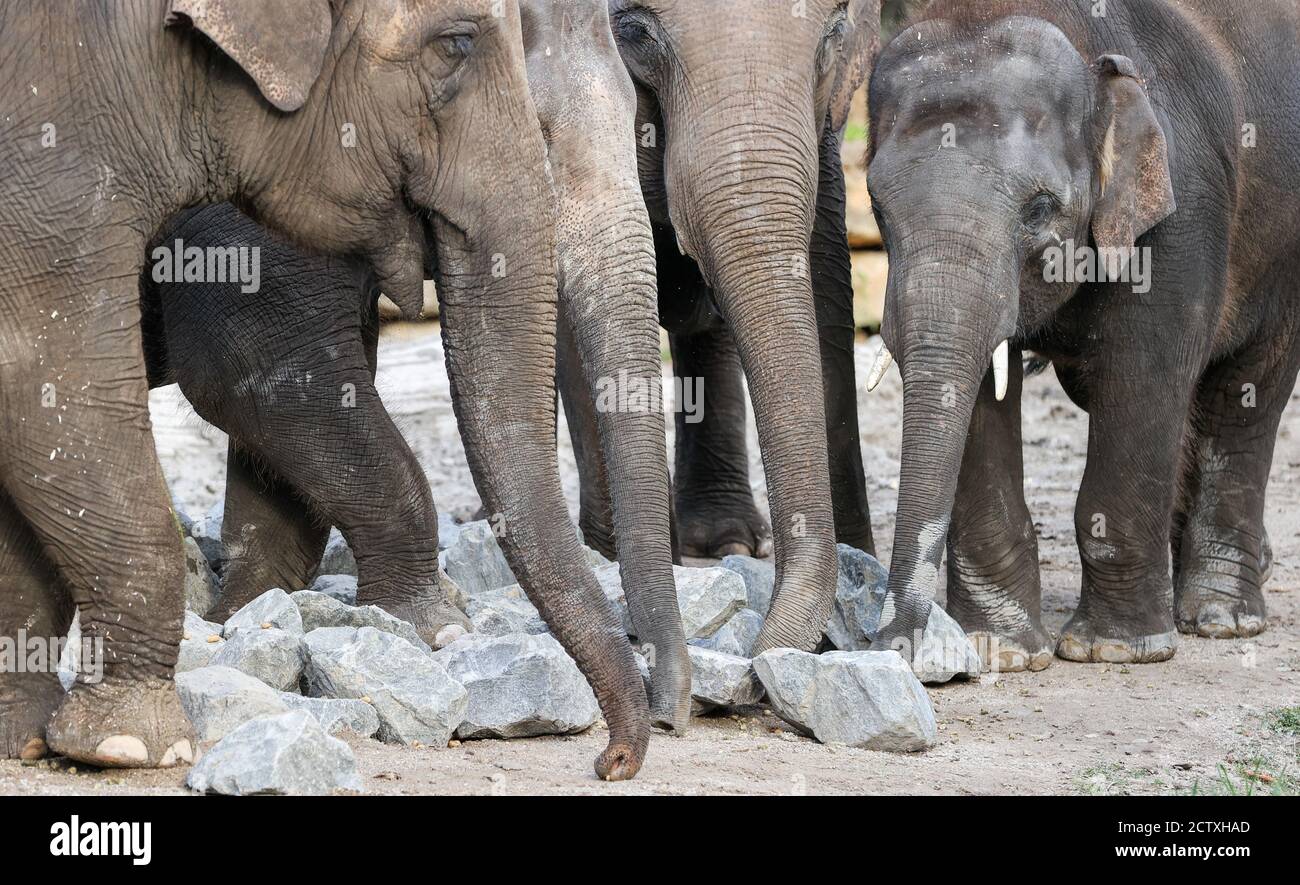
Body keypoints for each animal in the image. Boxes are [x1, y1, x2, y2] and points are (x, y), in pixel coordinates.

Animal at [864, 0, 1300, 670]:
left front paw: (1115, 650)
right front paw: (1000, 651)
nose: (895, 646)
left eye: (1040, 208)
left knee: (1246, 393)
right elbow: (983, 393)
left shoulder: (1182, 209)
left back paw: (1222, 620)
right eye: (877, 208)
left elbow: (1142, 379)